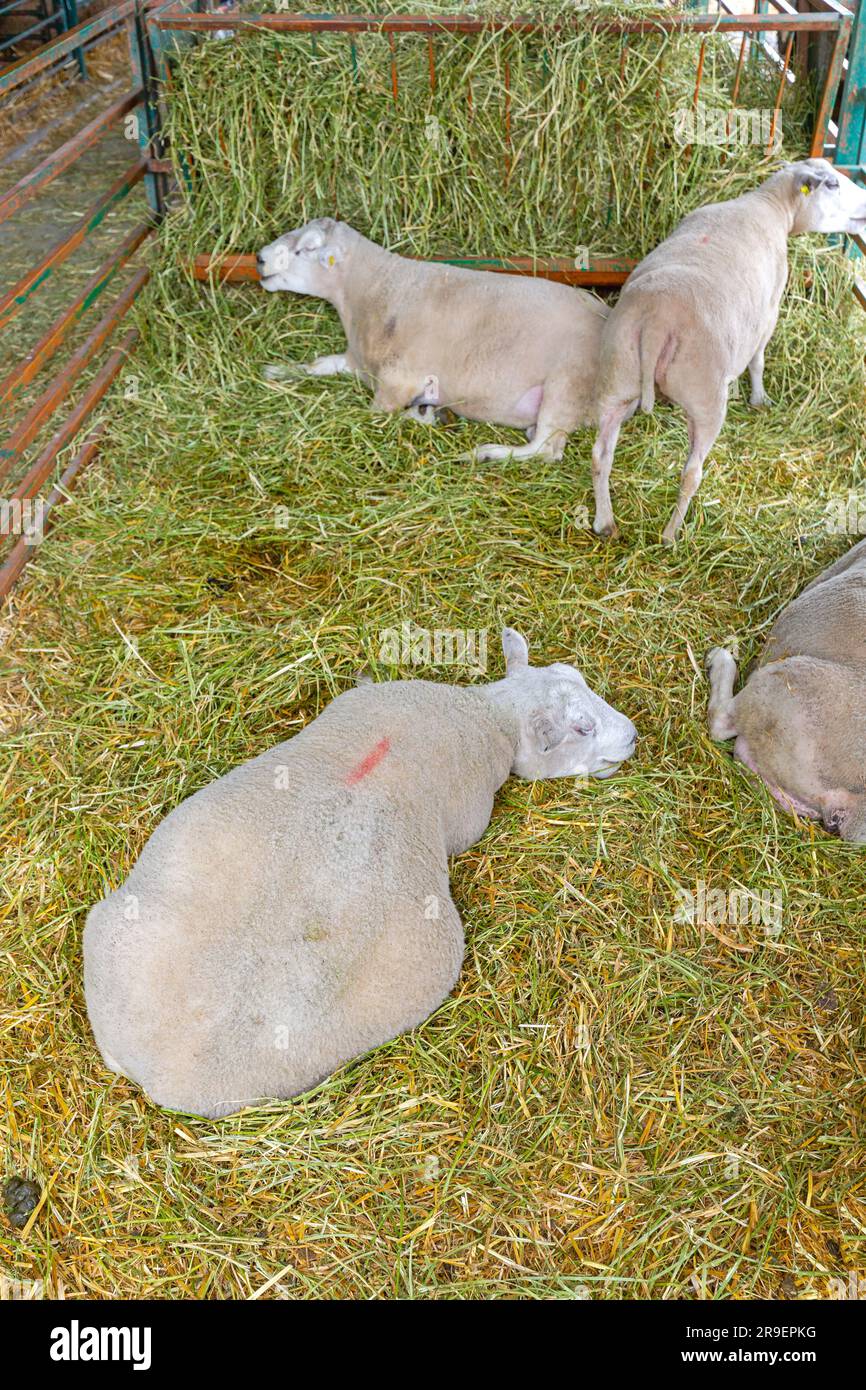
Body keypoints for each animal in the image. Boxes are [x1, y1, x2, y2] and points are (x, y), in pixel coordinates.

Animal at [256, 218, 608, 462]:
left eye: (305, 249)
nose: (259, 257)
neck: (372, 290)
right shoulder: (356, 362)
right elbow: (316, 365)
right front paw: (276, 370)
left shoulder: (398, 381)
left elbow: (372, 415)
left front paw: (426, 415)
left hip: (567, 384)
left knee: (547, 449)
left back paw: (485, 452)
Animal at [590, 159, 866, 544]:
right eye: (832, 184)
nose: (865, 203)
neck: (770, 203)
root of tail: (657, 323)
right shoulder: (769, 312)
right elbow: (758, 360)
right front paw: (759, 398)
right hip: (705, 400)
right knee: (691, 473)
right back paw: (671, 534)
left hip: (616, 379)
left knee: (600, 455)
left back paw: (605, 522)